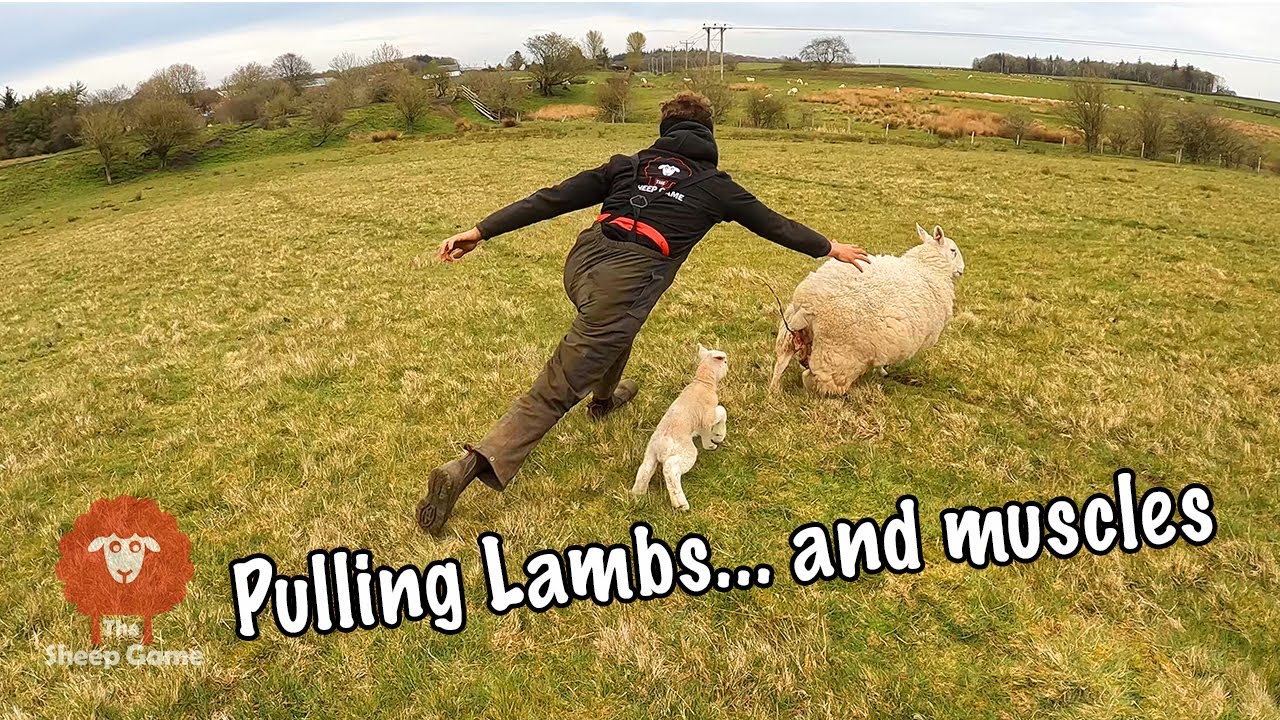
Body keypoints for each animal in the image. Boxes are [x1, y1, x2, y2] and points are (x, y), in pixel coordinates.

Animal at [769, 224, 966, 395]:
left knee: (780, 365)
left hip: (788, 335)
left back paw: (774, 391)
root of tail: (807, 307)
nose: (962, 270)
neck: (928, 268)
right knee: (812, 379)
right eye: (953, 250)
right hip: (837, 356)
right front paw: (883, 371)